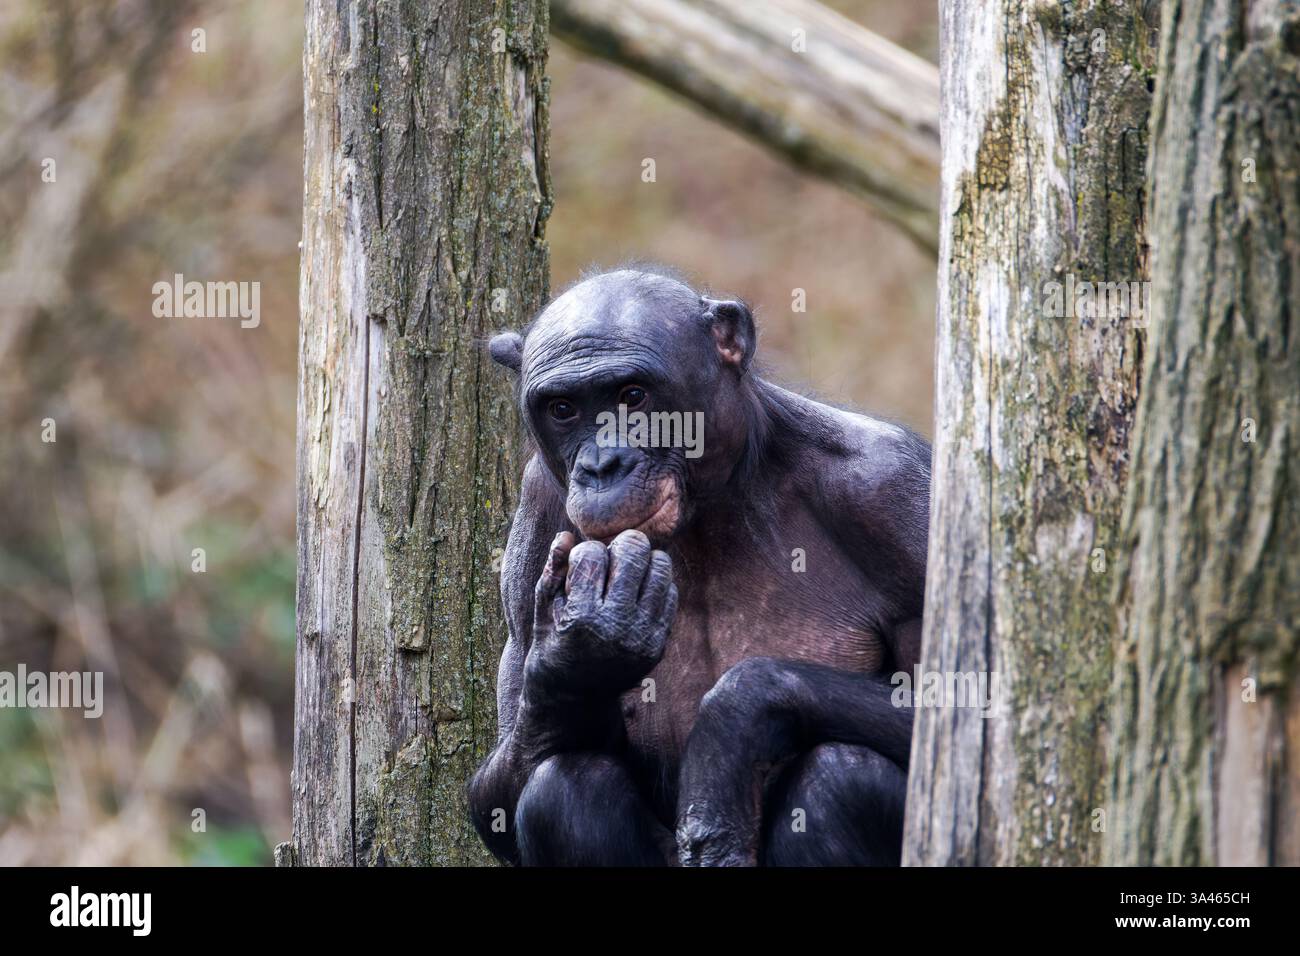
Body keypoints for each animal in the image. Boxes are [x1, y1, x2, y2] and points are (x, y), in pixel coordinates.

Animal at [468, 266, 930, 866]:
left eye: (633, 396)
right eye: (563, 408)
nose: (602, 465)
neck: (710, 506)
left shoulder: (894, 493)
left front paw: (733, 726)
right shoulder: (536, 512)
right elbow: (496, 796)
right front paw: (579, 653)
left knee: (841, 777)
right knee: (563, 786)